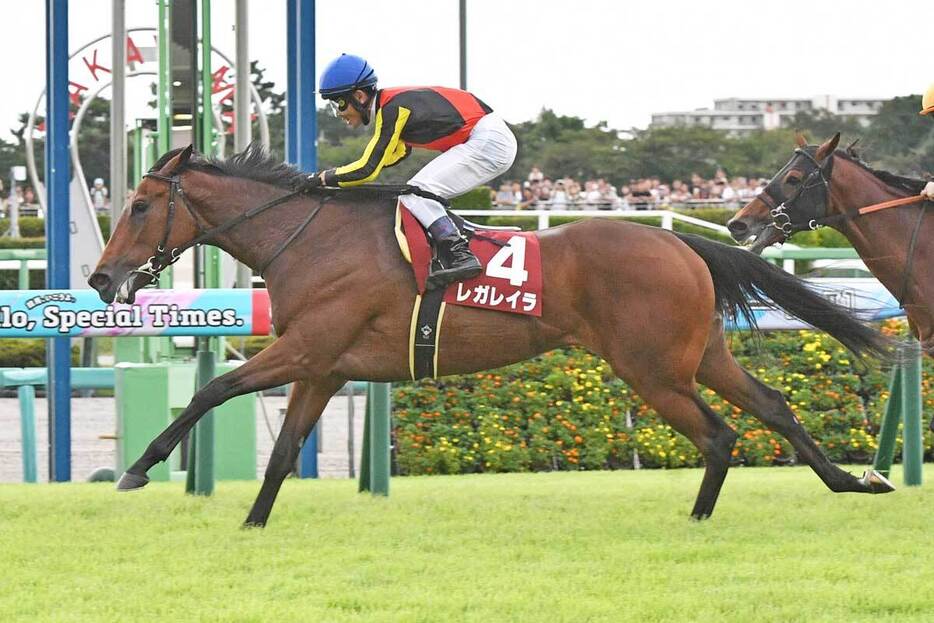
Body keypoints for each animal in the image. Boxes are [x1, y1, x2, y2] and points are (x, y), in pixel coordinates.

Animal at [89, 144, 896, 528]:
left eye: (139, 205)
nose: (100, 279)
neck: (310, 238)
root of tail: (680, 241)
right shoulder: (324, 367)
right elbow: (284, 452)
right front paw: (253, 524)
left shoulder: (305, 350)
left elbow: (215, 391)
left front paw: (137, 469)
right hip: (701, 354)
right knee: (774, 407)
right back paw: (852, 479)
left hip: (653, 369)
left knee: (720, 434)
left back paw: (699, 517)